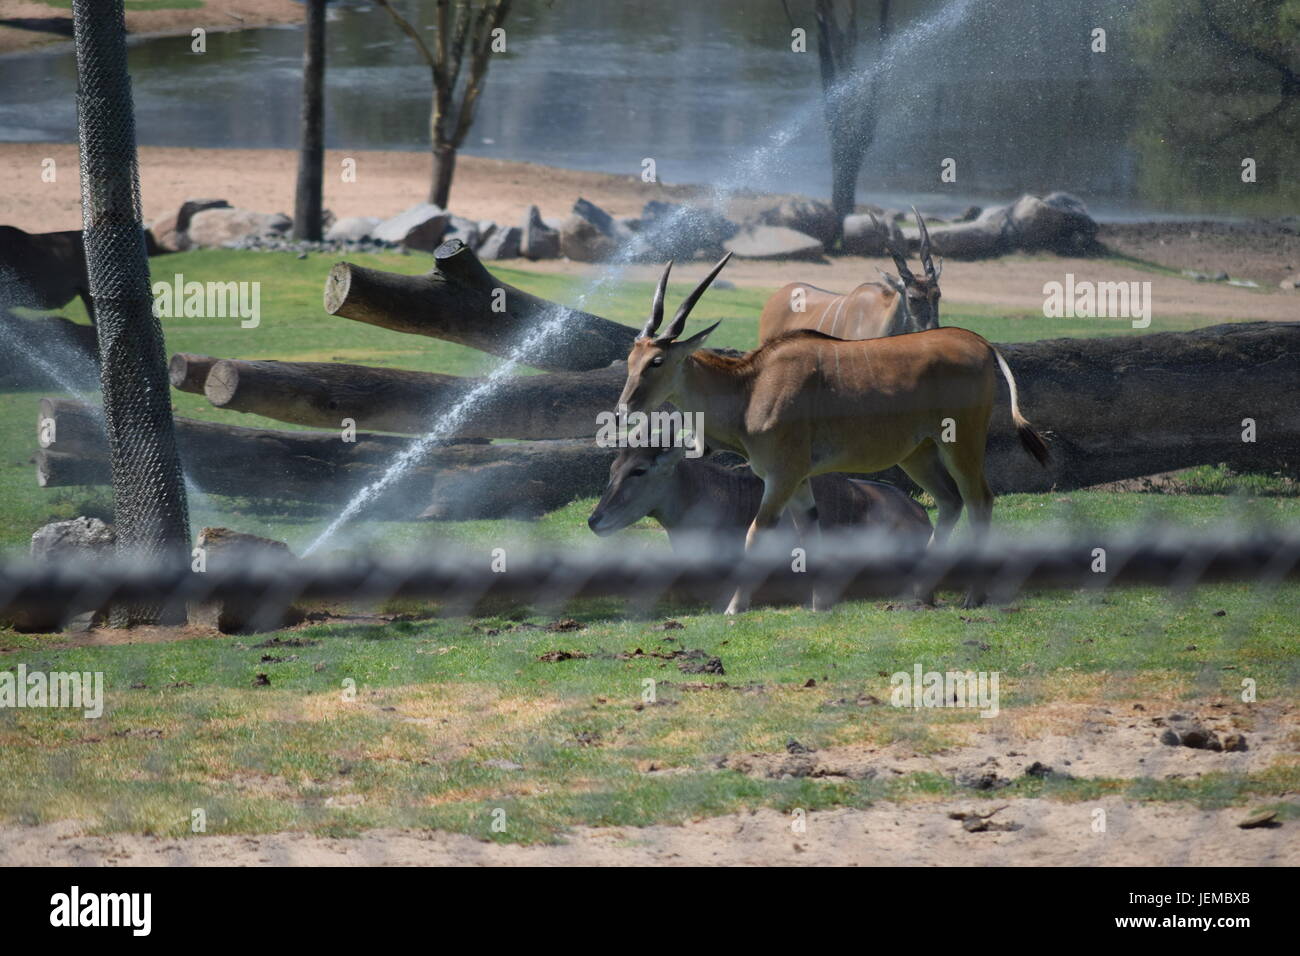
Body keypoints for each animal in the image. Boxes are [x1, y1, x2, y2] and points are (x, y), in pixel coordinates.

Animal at [617, 253, 1049, 613]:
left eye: (657, 361)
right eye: (631, 358)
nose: (624, 408)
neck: (750, 387)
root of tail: (980, 342)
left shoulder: (782, 476)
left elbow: (757, 534)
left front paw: (734, 607)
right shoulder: (799, 480)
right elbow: (811, 536)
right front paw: (819, 603)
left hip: (961, 442)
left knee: (979, 501)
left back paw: (972, 596)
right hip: (919, 453)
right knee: (949, 502)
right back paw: (921, 593)